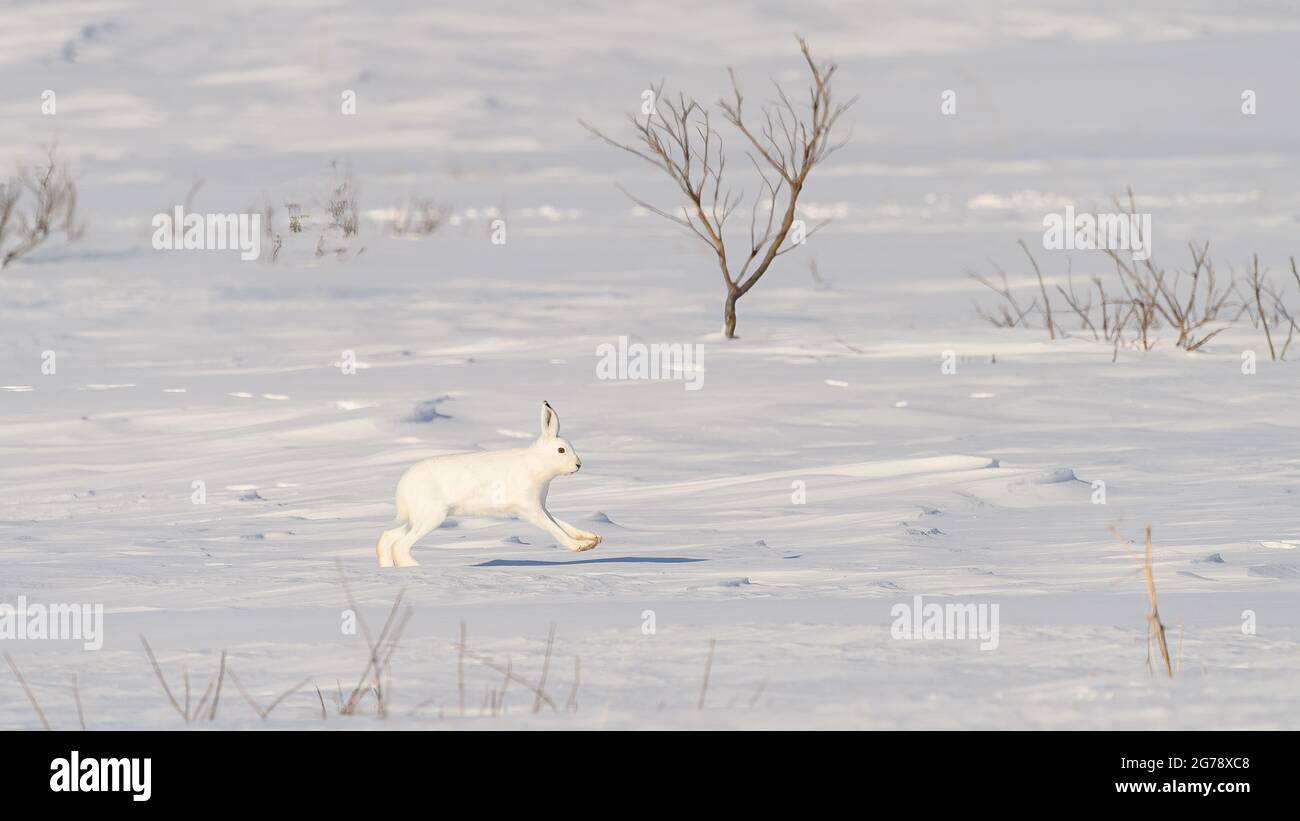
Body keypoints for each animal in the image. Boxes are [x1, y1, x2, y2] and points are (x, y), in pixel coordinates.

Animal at [375, 401, 602, 567]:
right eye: (561, 450)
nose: (578, 465)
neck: (536, 464)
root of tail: (402, 488)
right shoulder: (530, 508)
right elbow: (554, 528)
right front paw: (579, 547)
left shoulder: (541, 507)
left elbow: (562, 524)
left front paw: (593, 539)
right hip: (431, 516)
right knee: (400, 545)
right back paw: (418, 568)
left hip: (414, 518)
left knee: (388, 537)